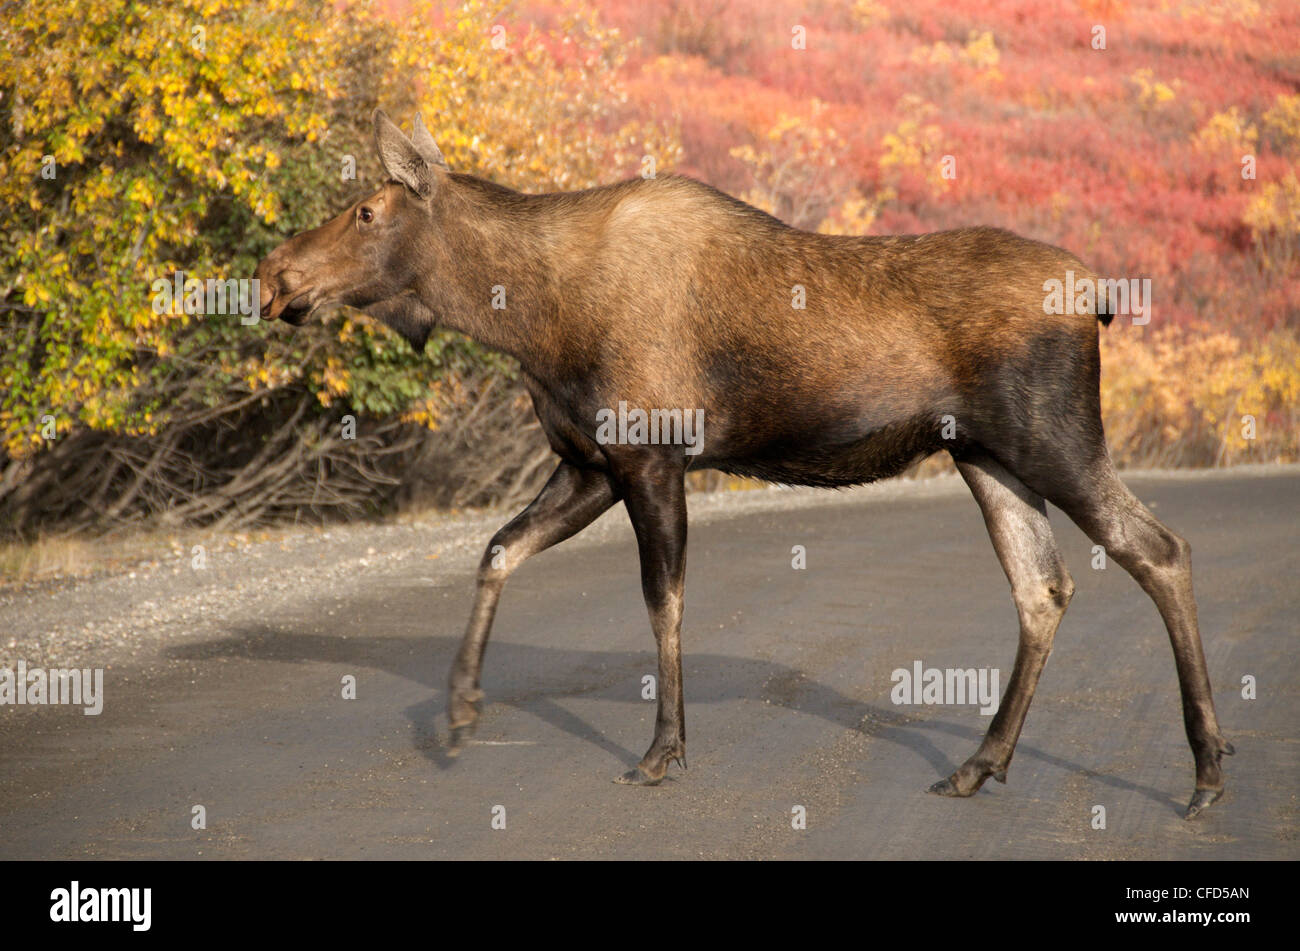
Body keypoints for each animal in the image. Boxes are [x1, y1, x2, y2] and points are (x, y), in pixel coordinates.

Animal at [253, 112, 1234, 818]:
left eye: (368, 211)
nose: (272, 275)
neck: (528, 317)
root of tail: (1098, 296)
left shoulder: (650, 456)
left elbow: (664, 602)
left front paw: (663, 750)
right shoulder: (589, 463)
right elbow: (497, 550)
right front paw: (459, 710)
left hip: (1054, 438)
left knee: (1161, 550)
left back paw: (1206, 770)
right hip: (988, 456)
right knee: (1044, 586)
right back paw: (978, 764)